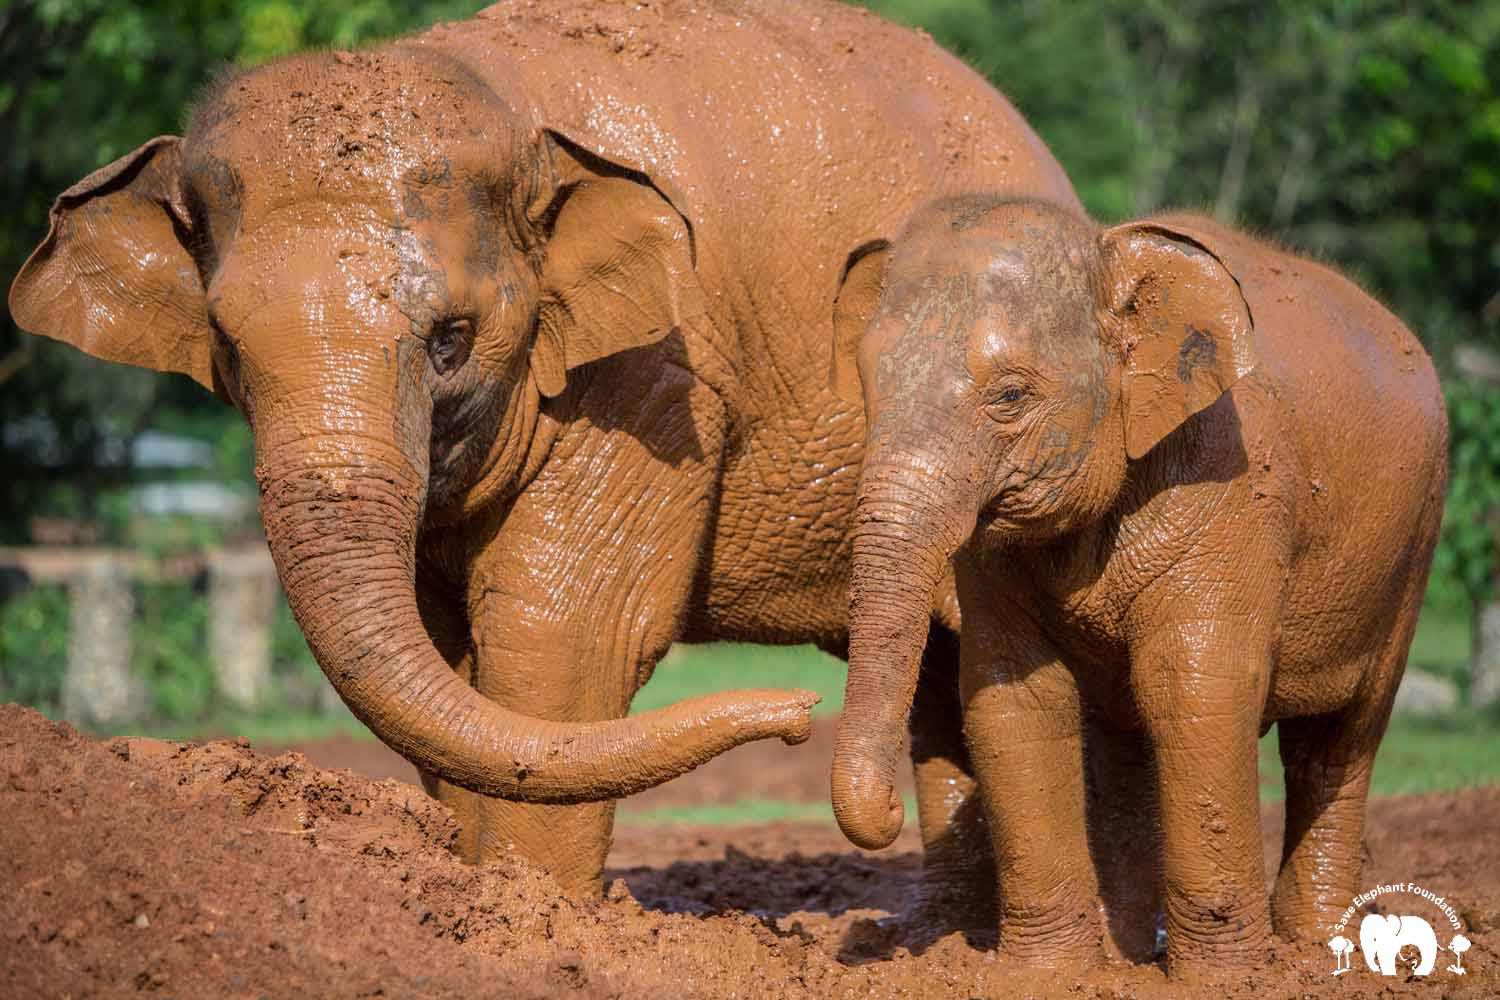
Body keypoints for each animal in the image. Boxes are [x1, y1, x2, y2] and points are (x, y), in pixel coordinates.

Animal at [7, 1, 1082, 894]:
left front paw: (542, 921)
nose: (795, 718)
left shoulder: (667, 372)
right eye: (227, 348)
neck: (501, 99)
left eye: (450, 338)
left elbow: (560, 633)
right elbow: (448, 653)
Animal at [825, 196, 1447, 975]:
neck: (1104, 249)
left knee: (1339, 739)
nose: (888, 814)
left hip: (1411, 555)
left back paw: (1318, 949)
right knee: (1127, 741)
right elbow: (1017, 698)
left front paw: (1225, 980)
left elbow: (1194, 686)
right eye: (869, 387)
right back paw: (1125, 955)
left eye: (1010, 395)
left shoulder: (1232, 486)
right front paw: (1045, 976)